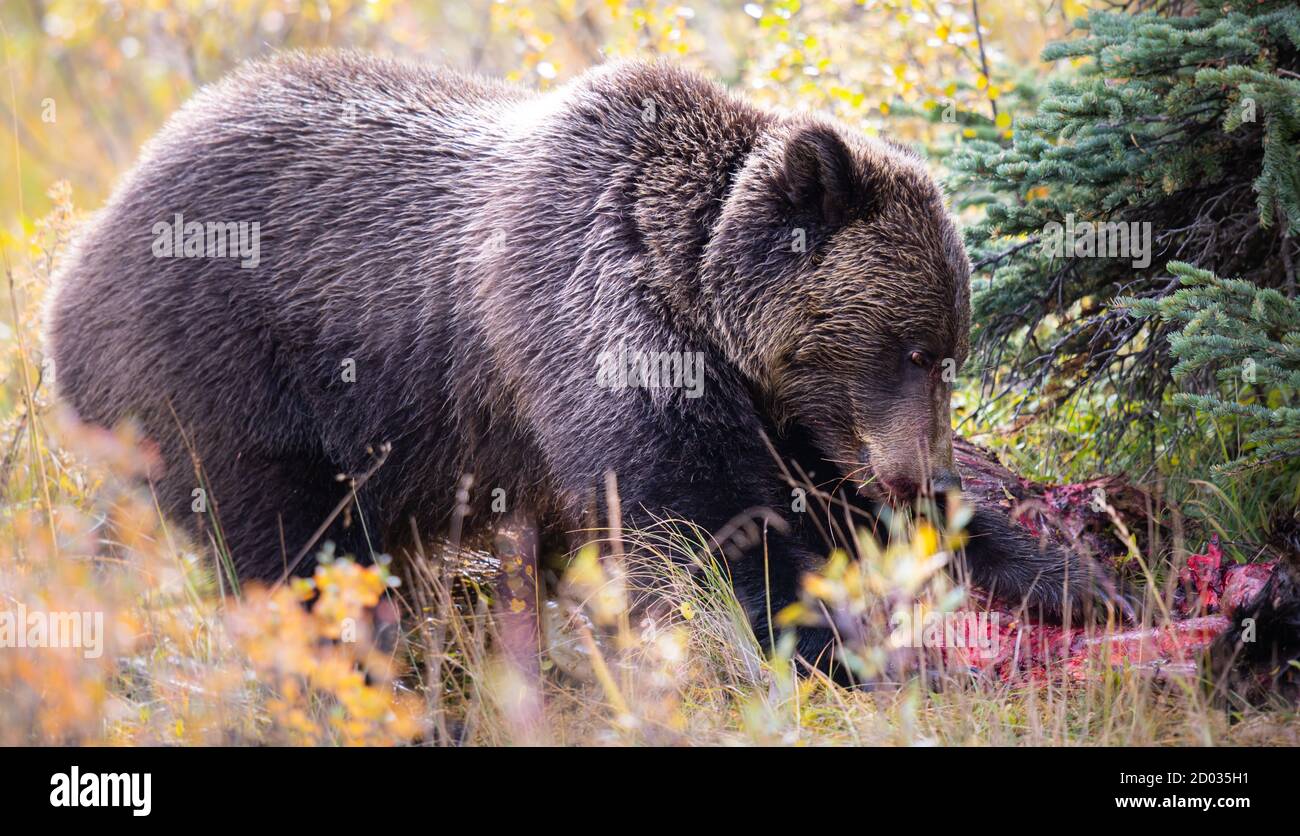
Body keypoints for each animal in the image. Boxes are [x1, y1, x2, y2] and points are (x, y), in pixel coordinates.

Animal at [48, 52, 1120, 670]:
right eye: (912, 348)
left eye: (951, 350)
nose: (921, 471)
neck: (692, 293)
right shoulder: (597, 333)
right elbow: (705, 527)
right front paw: (829, 646)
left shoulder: (785, 408)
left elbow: (818, 496)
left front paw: (1076, 580)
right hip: (221, 377)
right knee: (290, 553)